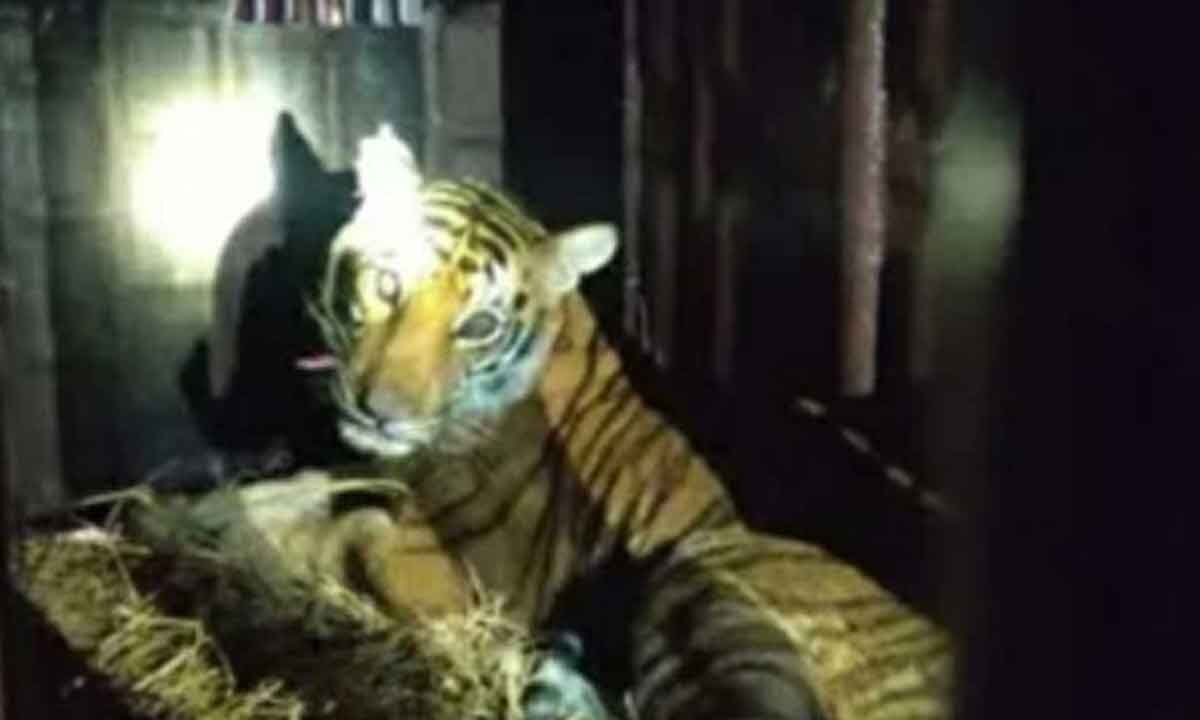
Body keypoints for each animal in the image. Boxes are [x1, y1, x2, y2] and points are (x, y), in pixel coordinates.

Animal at [268, 127, 956, 720]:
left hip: (713, 569)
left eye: (479, 326)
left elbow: (338, 536)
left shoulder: (444, 574)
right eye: (387, 285)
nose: (378, 412)